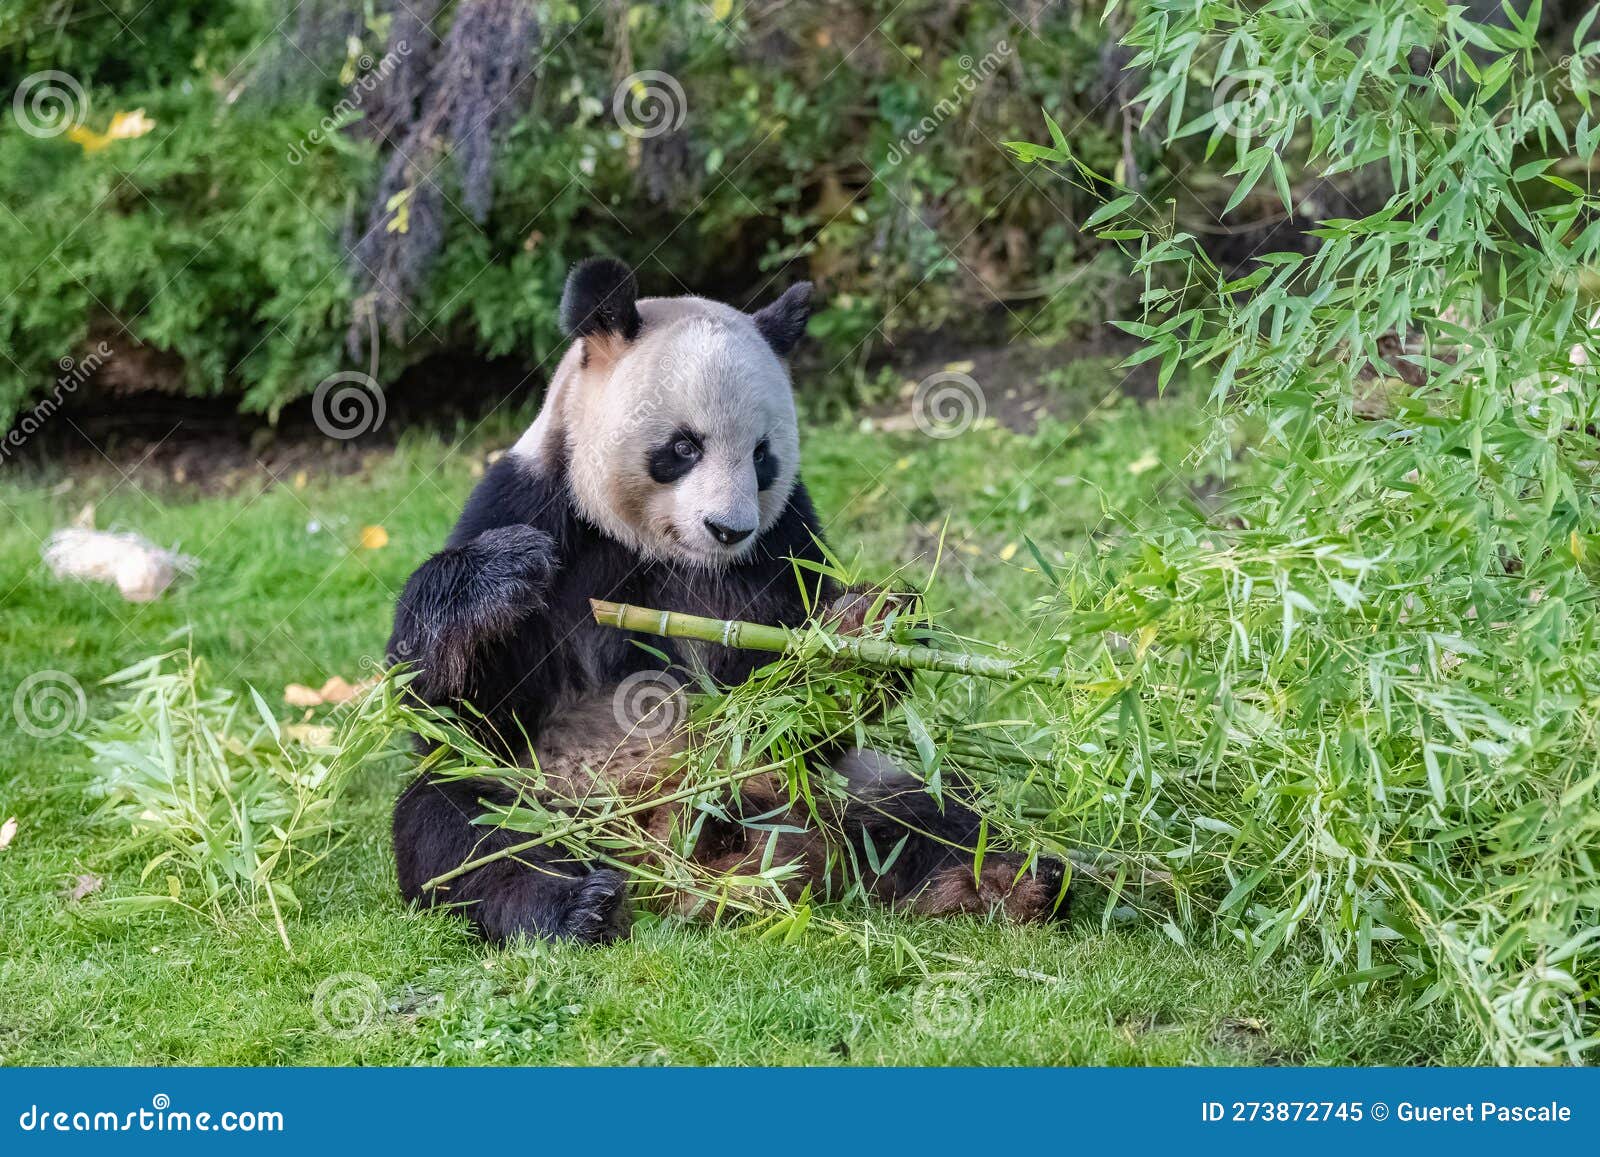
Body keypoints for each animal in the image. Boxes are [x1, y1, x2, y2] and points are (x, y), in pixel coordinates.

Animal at [388, 256, 1067, 943]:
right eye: (684, 447)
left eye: (762, 455)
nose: (728, 529)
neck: (667, 550)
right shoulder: (539, 503)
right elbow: (459, 708)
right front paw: (504, 575)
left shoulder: (782, 544)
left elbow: (787, 706)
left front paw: (865, 635)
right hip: (548, 792)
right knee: (466, 830)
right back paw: (576, 906)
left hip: (840, 787)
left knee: (928, 808)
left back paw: (1007, 881)